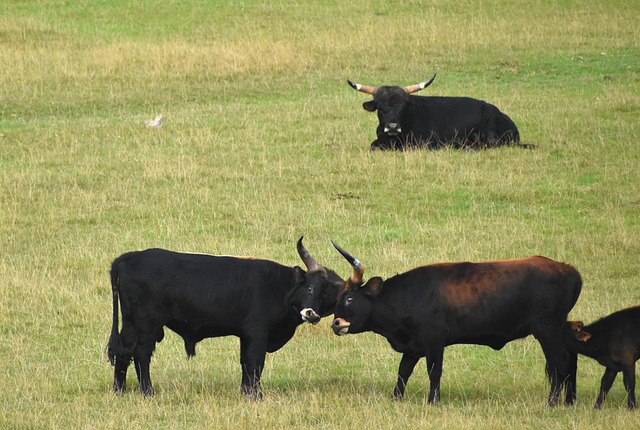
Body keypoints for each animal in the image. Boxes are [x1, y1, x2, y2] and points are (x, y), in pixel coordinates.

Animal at [107, 237, 344, 401]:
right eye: (310, 287)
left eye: (328, 291)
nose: (311, 313)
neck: (281, 287)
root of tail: (130, 257)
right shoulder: (257, 334)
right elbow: (255, 362)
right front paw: (256, 396)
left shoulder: (246, 336)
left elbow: (245, 363)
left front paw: (246, 392)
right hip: (146, 326)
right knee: (141, 355)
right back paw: (148, 392)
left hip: (130, 324)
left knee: (123, 353)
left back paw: (119, 391)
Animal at [330, 241, 582, 406]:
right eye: (338, 298)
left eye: (350, 298)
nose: (336, 324)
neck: (409, 296)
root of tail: (569, 268)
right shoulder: (413, 346)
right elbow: (403, 371)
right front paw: (396, 398)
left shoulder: (434, 341)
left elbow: (434, 371)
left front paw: (433, 401)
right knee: (568, 360)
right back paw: (568, 401)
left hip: (547, 331)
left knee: (559, 362)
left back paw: (552, 402)